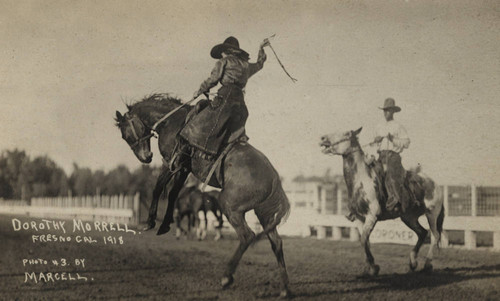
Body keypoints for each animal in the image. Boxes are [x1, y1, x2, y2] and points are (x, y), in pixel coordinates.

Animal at [115, 93, 292, 296]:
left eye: (125, 134)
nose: (146, 158)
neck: (172, 122)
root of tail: (274, 178)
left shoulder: (173, 162)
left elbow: (159, 187)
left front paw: (151, 222)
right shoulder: (183, 168)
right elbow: (173, 193)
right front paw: (166, 224)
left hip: (230, 206)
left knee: (247, 236)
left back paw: (226, 277)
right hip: (263, 214)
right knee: (276, 242)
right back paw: (285, 289)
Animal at [318, 126, 444, 274]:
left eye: (346, 133)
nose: (322, 138)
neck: (362, 180)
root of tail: (435, 183)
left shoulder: (372, 216)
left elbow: (363, 240)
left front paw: (373, 267)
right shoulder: (360, 218)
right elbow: (365, 241)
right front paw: (370, 267)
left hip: (432, 213)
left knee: (435, 236)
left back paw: (427, 264)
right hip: (409, 217)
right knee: (422, 233)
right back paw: (413, 262)